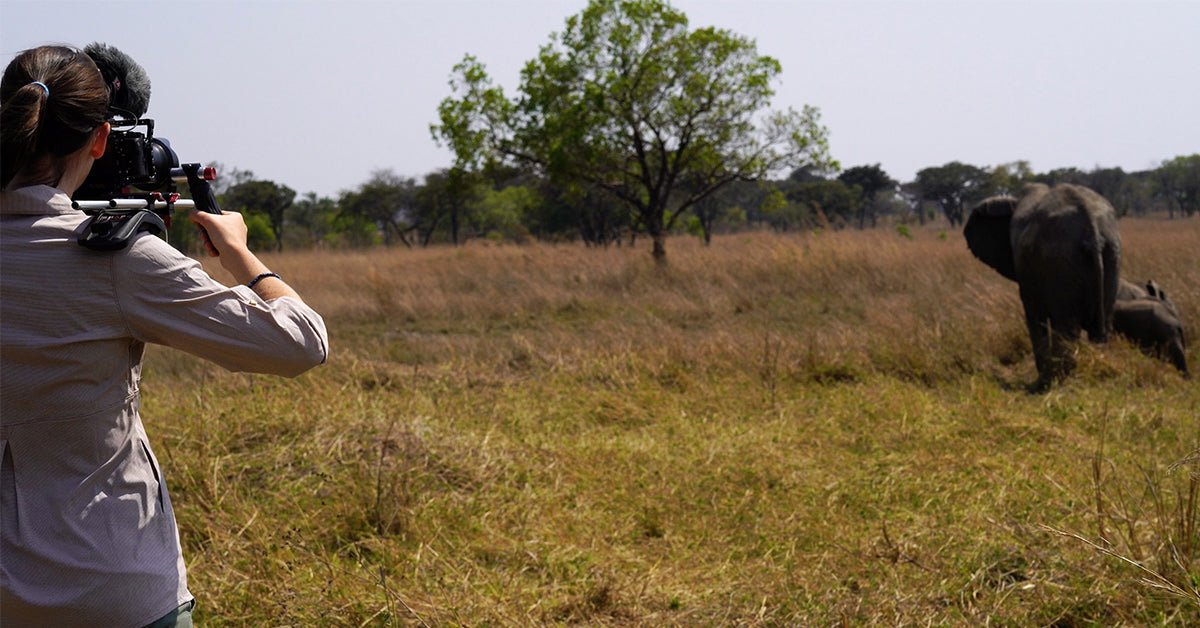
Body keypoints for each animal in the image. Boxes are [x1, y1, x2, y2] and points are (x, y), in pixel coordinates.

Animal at [964, 183, 1121, 388]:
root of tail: (1092, 230)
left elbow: (1034, 316)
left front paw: (1040, 382)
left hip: (1059, 259)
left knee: (1066, 327)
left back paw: (1053, 381)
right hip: (1110, 253)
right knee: (1102, 327)